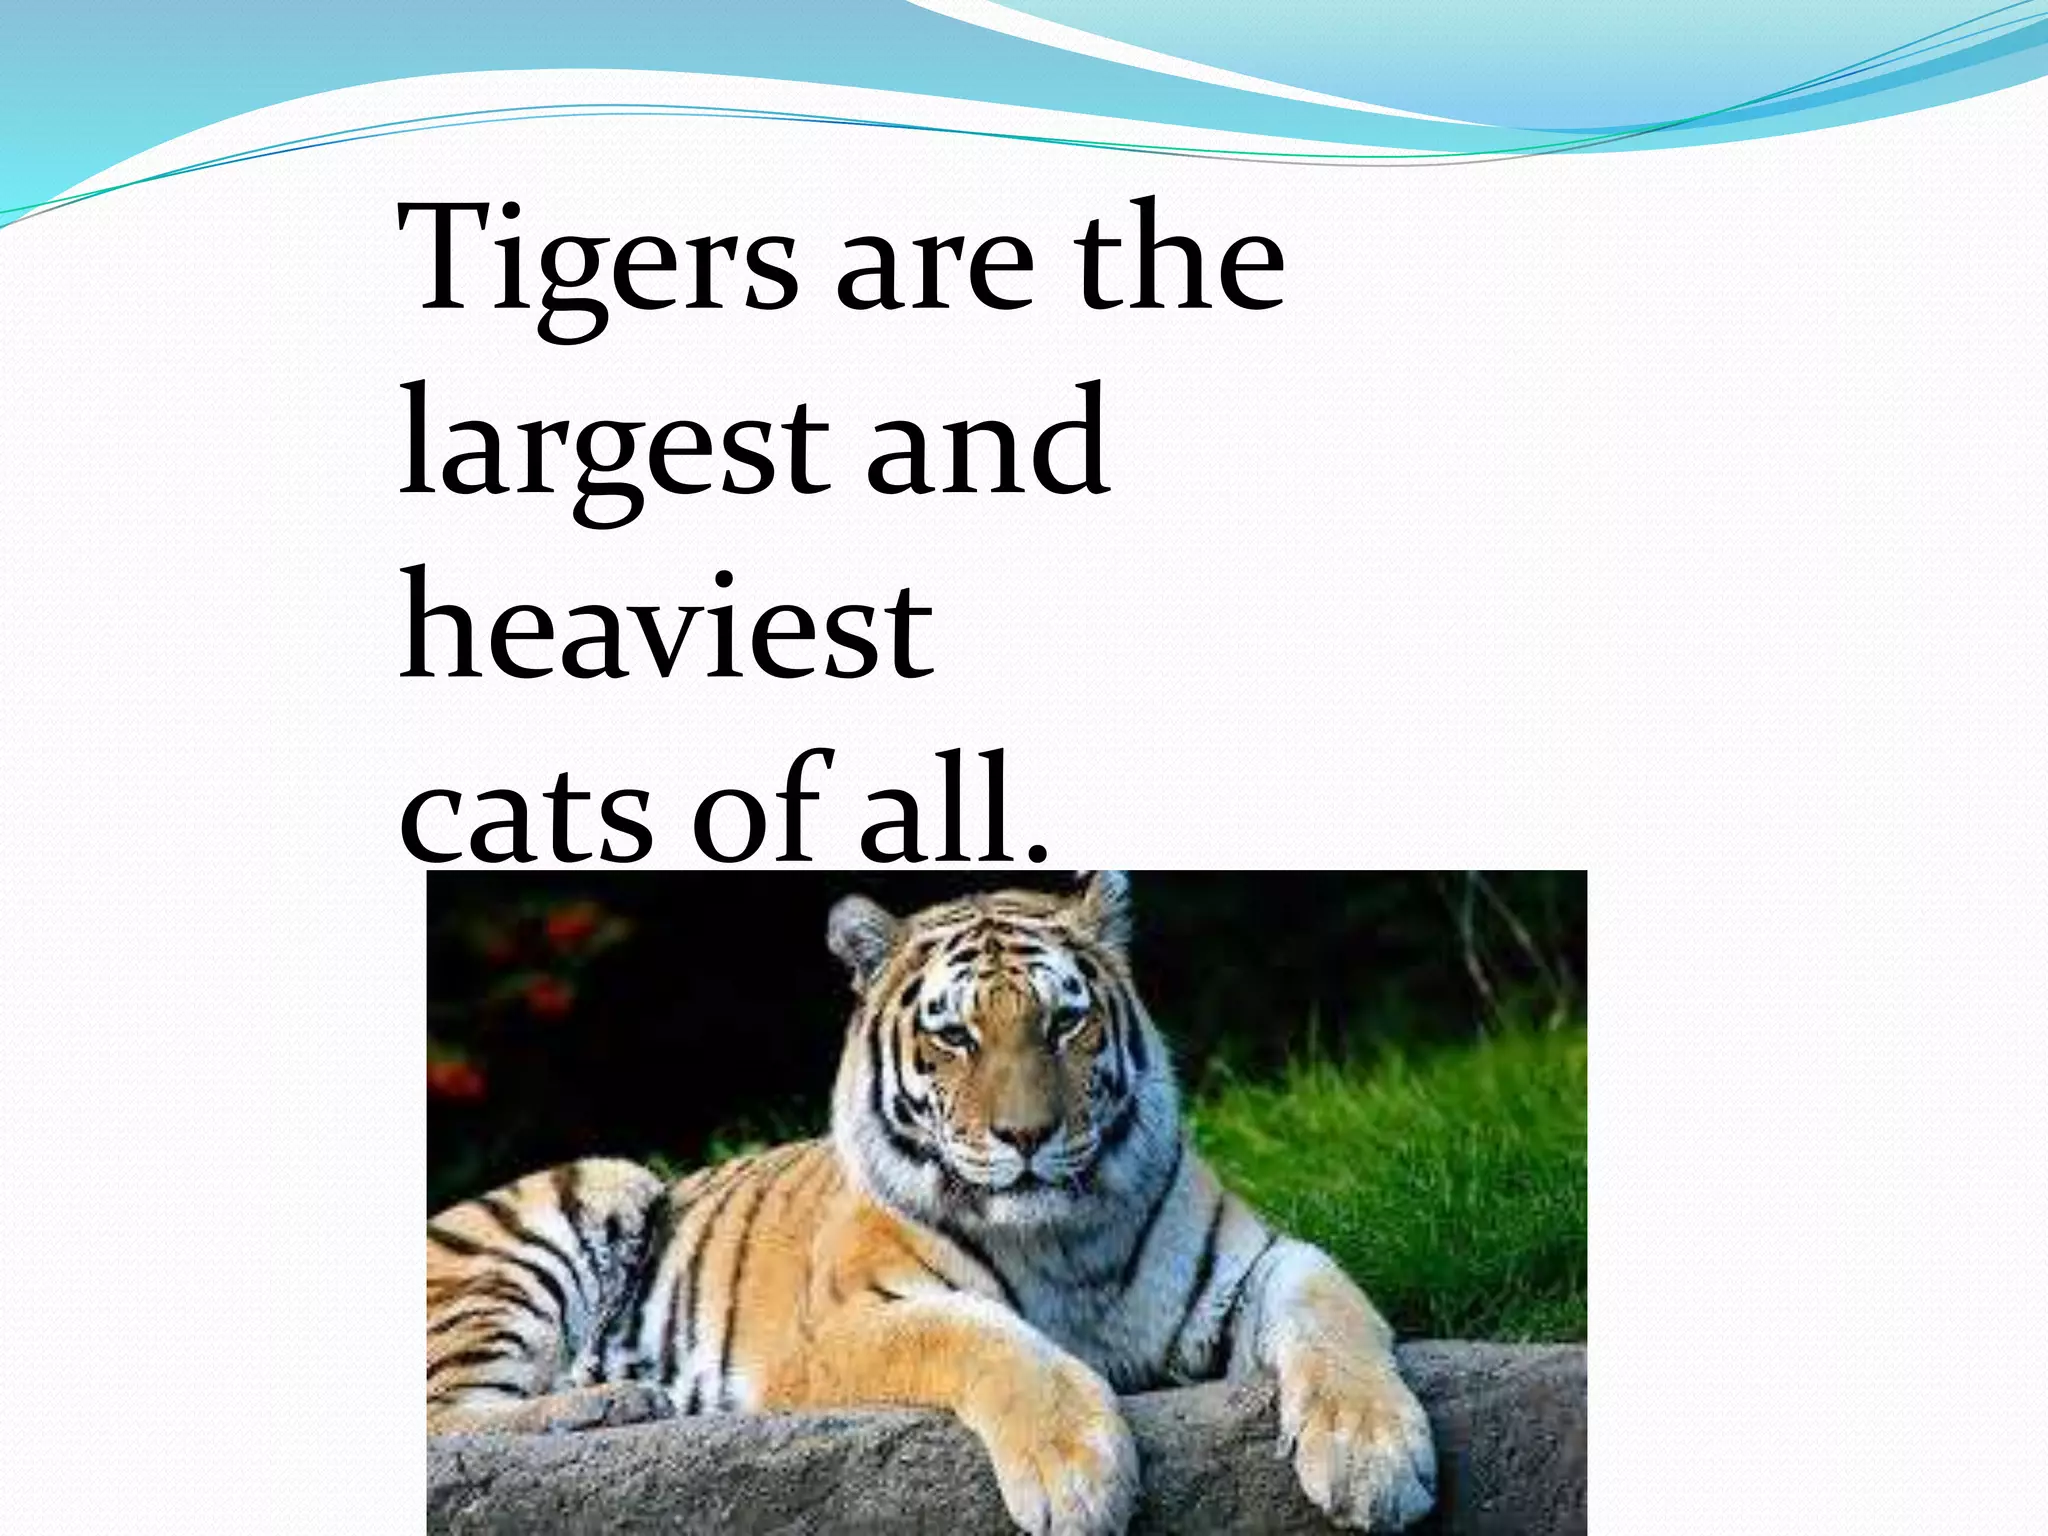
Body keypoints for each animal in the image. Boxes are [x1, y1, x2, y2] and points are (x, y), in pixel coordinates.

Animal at [427, 872, 1437, 1535]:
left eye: (1064, 1021)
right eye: (954, 1036)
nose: (1025, 1135)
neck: (1062, 1241)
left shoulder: (1255, 1261)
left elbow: (1328, 1302)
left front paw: (1373, 1458)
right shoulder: (836, 1328)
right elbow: (980, 1335)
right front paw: (1077, 1477)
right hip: (588, 1193)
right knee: (444, 1420)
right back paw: (613, 1404)